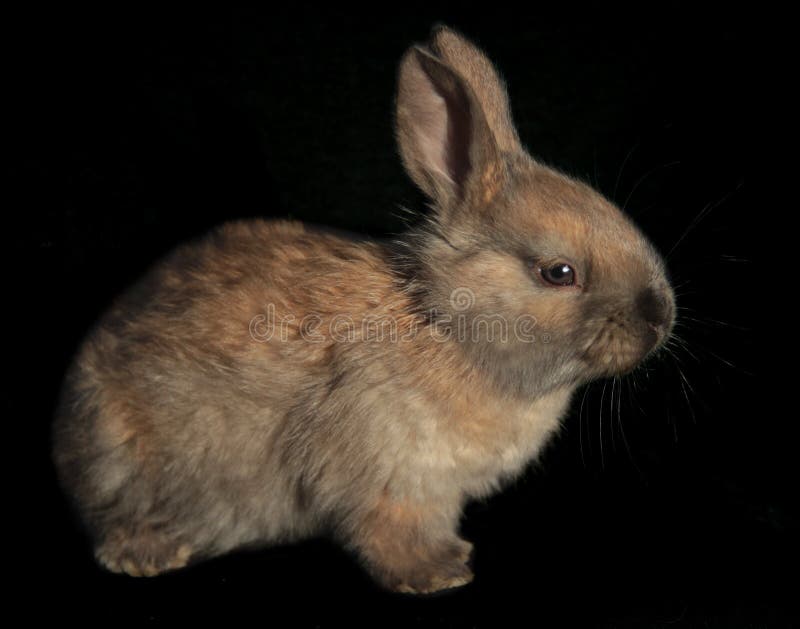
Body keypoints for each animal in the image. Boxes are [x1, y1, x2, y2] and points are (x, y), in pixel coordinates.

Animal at [53, 26, 675, 594]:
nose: (659, 319)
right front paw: (437, 574)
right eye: (559, 273)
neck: (443, 324)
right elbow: (385, 532)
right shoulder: (389, 482)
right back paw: (146, 554)